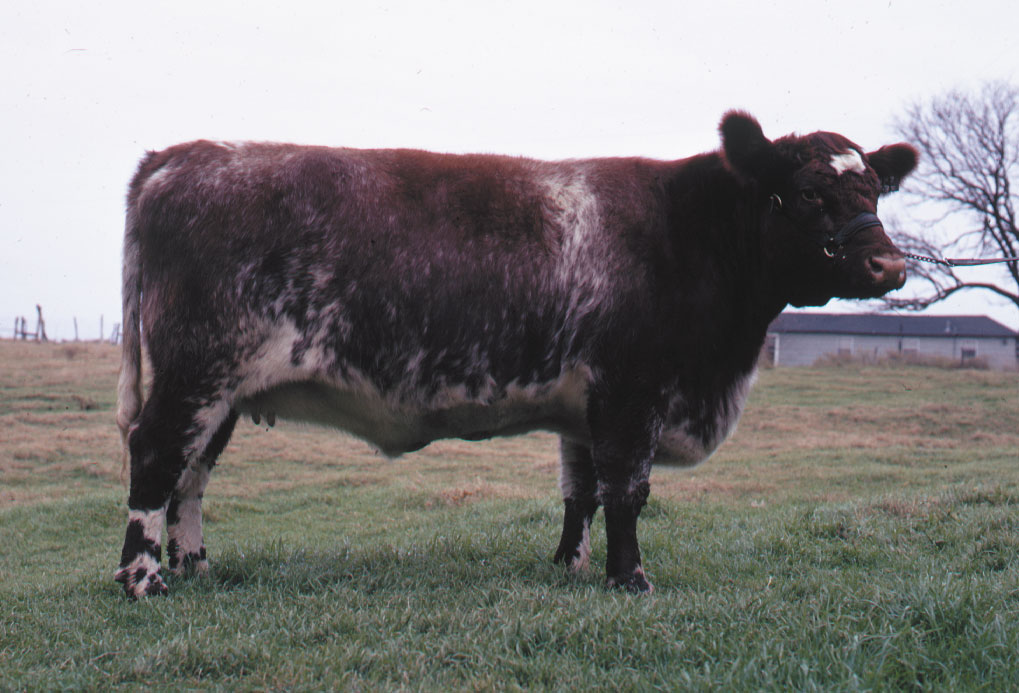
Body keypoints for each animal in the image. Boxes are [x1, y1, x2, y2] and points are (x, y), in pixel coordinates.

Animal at [114, 112, 917, 598]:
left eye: (875, 190)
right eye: (808, 193)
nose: (888, 265)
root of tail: (180, 157)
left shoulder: (586, 404)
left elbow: (580, 490)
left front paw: (572, 564)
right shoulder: (632, 391)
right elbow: (628, 490)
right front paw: (631, 578)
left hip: (223, 389)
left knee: (191, 473)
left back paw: (195, 565)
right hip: (197, 371)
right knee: (155, 456)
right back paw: (144, 578)